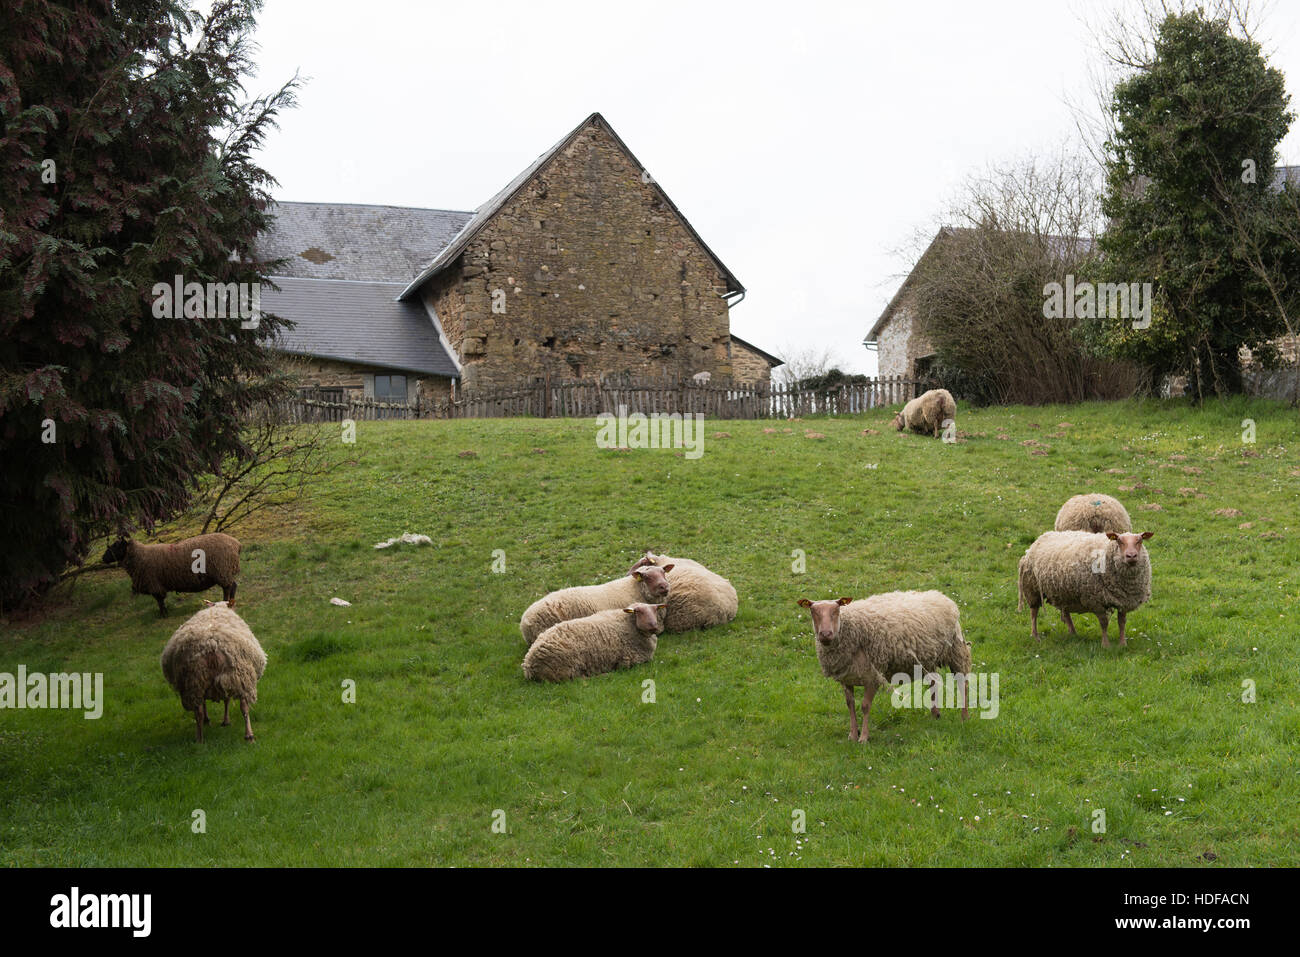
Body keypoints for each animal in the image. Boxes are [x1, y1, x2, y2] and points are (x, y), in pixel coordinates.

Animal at [102, 533, 241, 616]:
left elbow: (159, 600)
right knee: (232, 585)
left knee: (228, 587)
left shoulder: (154, 584)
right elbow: (160, 600)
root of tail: (236, 543)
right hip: (225, 571)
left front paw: (163, 614)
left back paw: (225, 601)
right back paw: (229, 601)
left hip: (222, 570)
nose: (103, 558)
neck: (139, 556)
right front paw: (163, 613)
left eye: (116, 545)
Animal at [160, 600, 266, 743]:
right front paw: (226, 721)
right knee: (244, 707)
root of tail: (211, 644)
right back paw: (249, 735)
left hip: (194, 682)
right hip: (241, 677)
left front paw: (210, 720)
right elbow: (227, 700)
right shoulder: (228, 680)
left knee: (198, 710)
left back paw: (199, 739)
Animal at [522, 602, 666, 682]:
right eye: (638, 611)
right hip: (565, 668)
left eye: (655, 610)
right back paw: (604, 675)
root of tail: (529, 664)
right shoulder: (628, 660)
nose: (654, 626)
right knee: (578, 680)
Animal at [797, 591, 971, 743]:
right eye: (813, 611)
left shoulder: (873, 675)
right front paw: (852, 735)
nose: (825, 634)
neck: (849, 628)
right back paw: (936, 714)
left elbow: (865, 706)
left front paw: (863, 738)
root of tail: (940, 595)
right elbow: (850, 705)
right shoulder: (846, 678)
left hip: (956, 650)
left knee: (962, 683)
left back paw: (964, 717)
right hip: (927, 658)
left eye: (836, 610)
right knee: (933, 682)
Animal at [1017, 530, 1154, 647]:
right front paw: (1106, 645)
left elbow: (1122, 622)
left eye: (1140, 540)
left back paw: (1073, 633)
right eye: (1119, 541)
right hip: (1032, 588)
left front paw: (1122, 643)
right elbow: (1104, 623)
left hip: (1063, 591)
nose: (1131, 556)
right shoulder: (1096, 601)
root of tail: (1039, 539)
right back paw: (1035, 636)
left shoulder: (1124, 601)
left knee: (1065, 611)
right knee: (1034, 612)